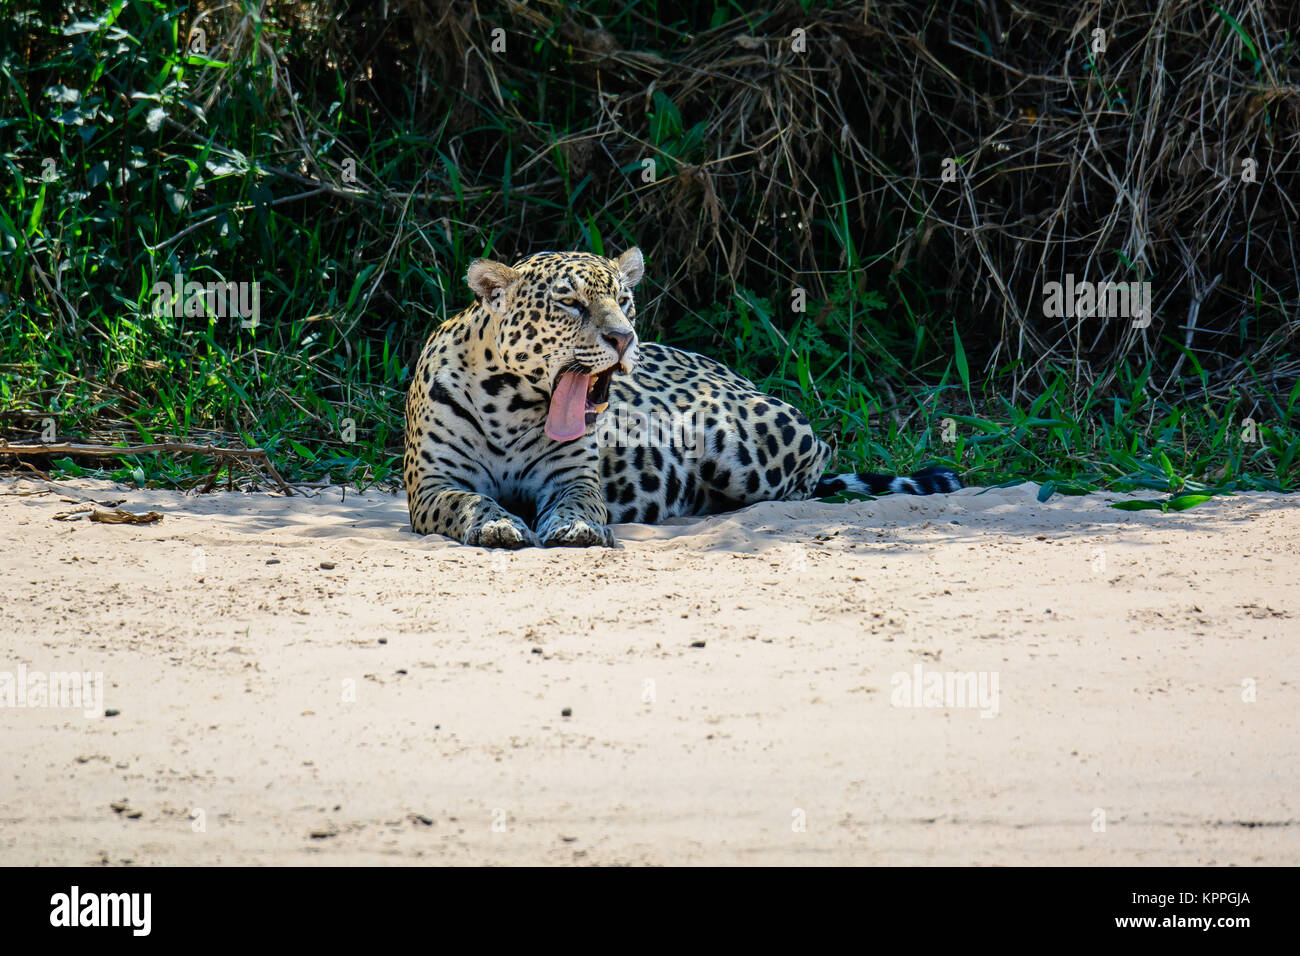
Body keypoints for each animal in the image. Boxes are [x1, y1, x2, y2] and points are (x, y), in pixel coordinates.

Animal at [403, 247, 961, 547]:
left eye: (624, 300)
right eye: (570, 303)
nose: (624, 338)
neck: (513, 405)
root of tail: (736, 375)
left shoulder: (574, 479)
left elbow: (579, 503)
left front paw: (578, 528)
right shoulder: (433, 485)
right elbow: (471, 500)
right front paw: (499, 523)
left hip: (742, 446)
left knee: (818, 457)